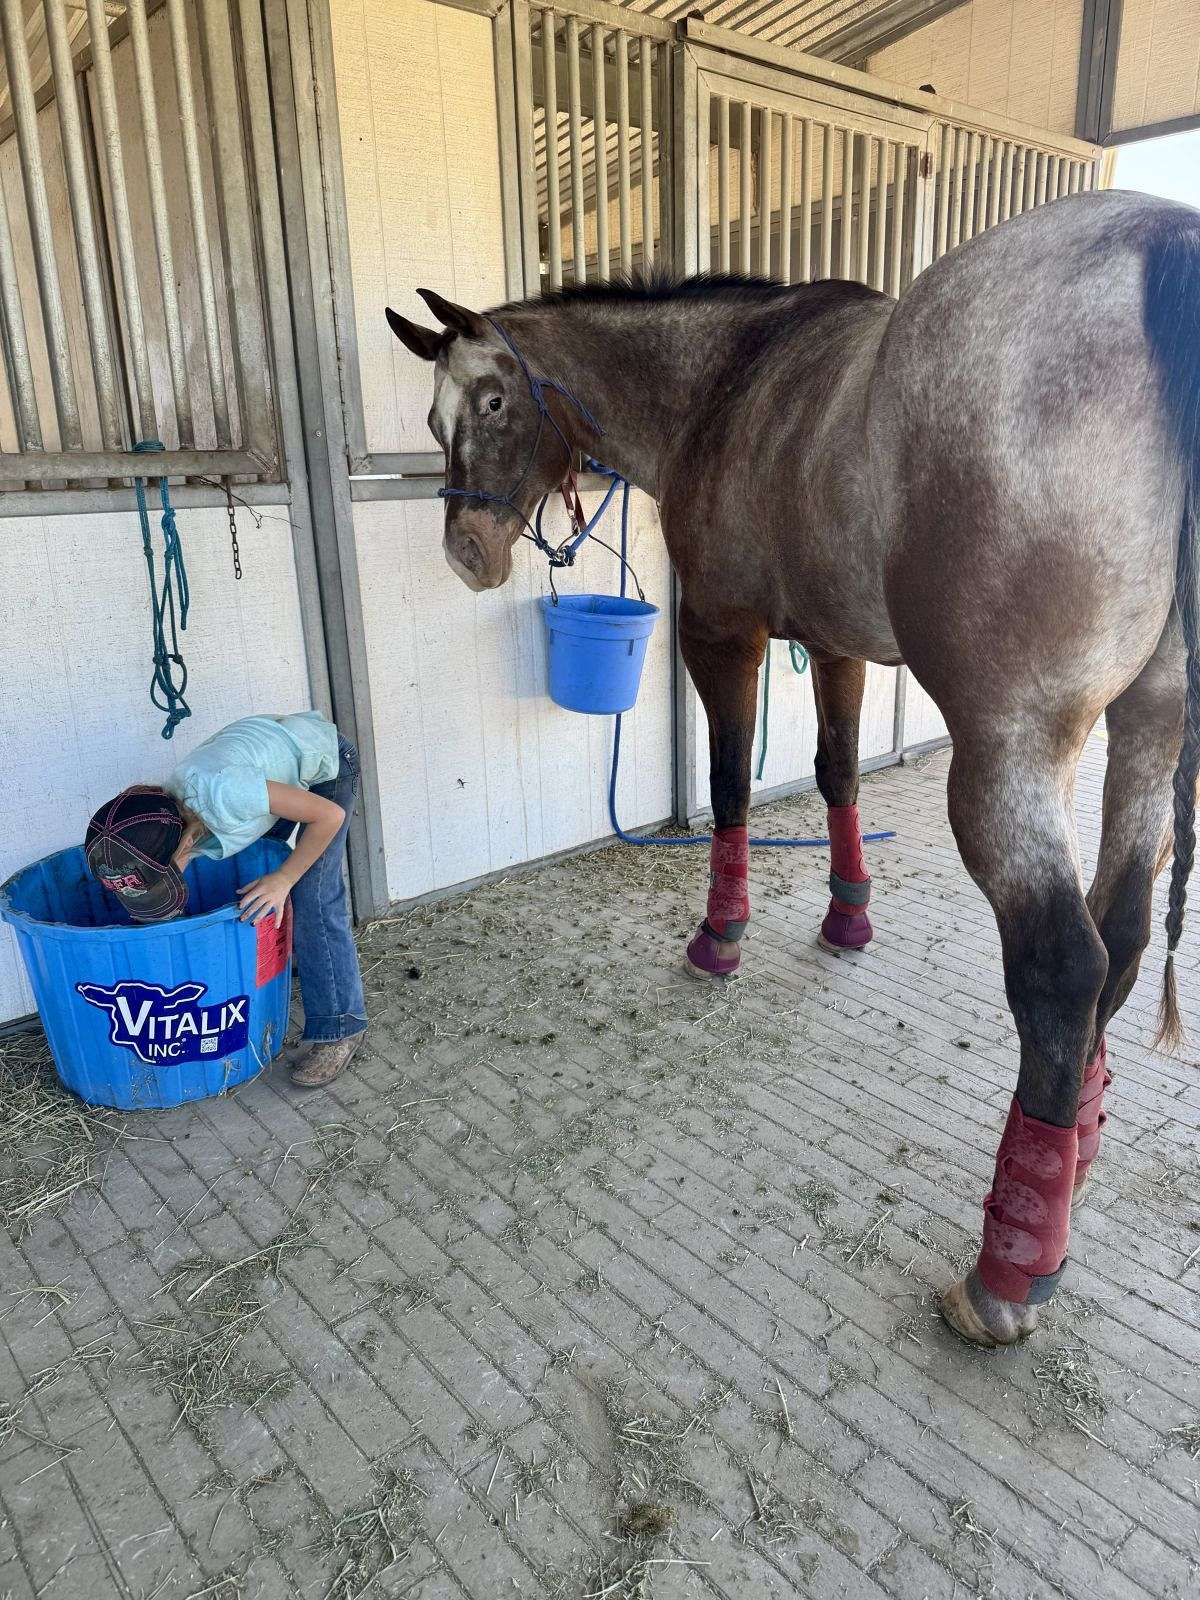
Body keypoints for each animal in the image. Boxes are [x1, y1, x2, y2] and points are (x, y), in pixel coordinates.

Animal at [386, 188, 1200, 1349]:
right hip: (1150, 726)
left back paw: (1007, 1269)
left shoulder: (719, 636)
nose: (466, 554)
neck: (725, 383)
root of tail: (1157, 241)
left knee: (1064, 967)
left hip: (1011, 752)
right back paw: (1074, 1163)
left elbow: (731, 785)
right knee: (1122, 935)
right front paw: (845, 915)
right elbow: (836, 775)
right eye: (432, 422)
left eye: (493, 401)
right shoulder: (837, 644)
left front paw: (720, 934)